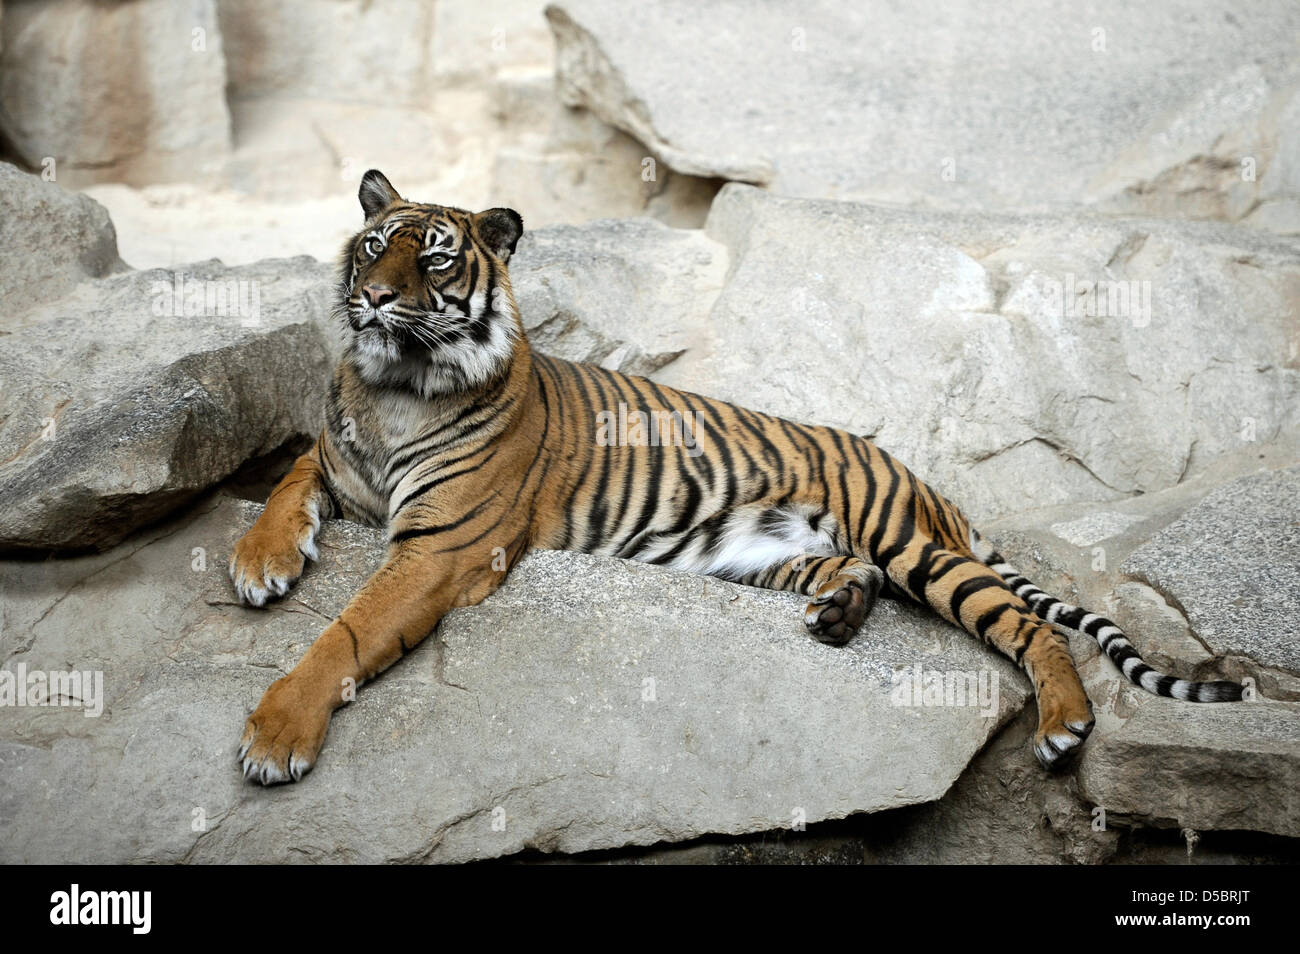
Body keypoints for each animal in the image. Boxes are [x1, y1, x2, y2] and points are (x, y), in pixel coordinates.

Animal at [229, 169, 1243, 785]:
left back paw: (1063, 726)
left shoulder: (441, 549)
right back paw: (837, 617)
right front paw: (259, 562)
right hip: (763, 553)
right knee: (856, 578)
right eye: (375, 245)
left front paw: (275, 736)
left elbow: (345, 636)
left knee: (1033, 626)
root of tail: (924, 480)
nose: (374, 298)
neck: (392, 384)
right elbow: (286, 480)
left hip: (910, 544)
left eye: (435, 256)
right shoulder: (334, 459)